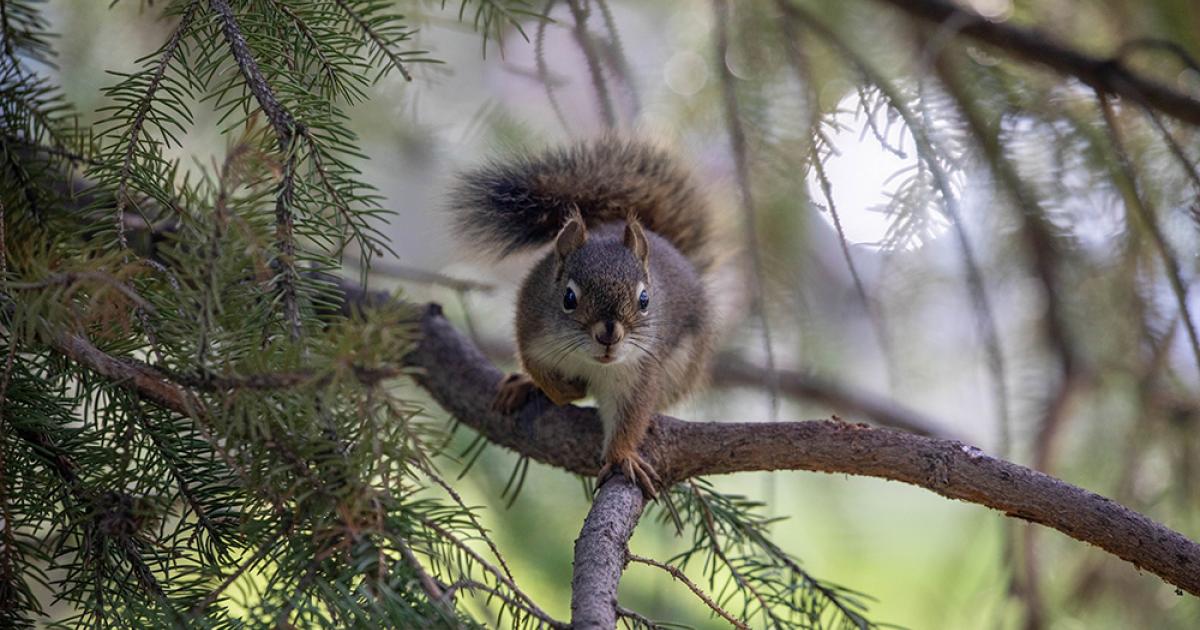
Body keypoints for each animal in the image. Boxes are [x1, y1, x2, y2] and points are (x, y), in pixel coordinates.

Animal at [449, 136, 716, 498]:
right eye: (569, 298)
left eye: (645, 300)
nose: (609, 335)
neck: (591, 364)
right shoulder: (532, 331)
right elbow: (539, 369)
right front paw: (562, 389)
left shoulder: (638, 373)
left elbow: (630, 415)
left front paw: (623, 456)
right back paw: (523, 386)